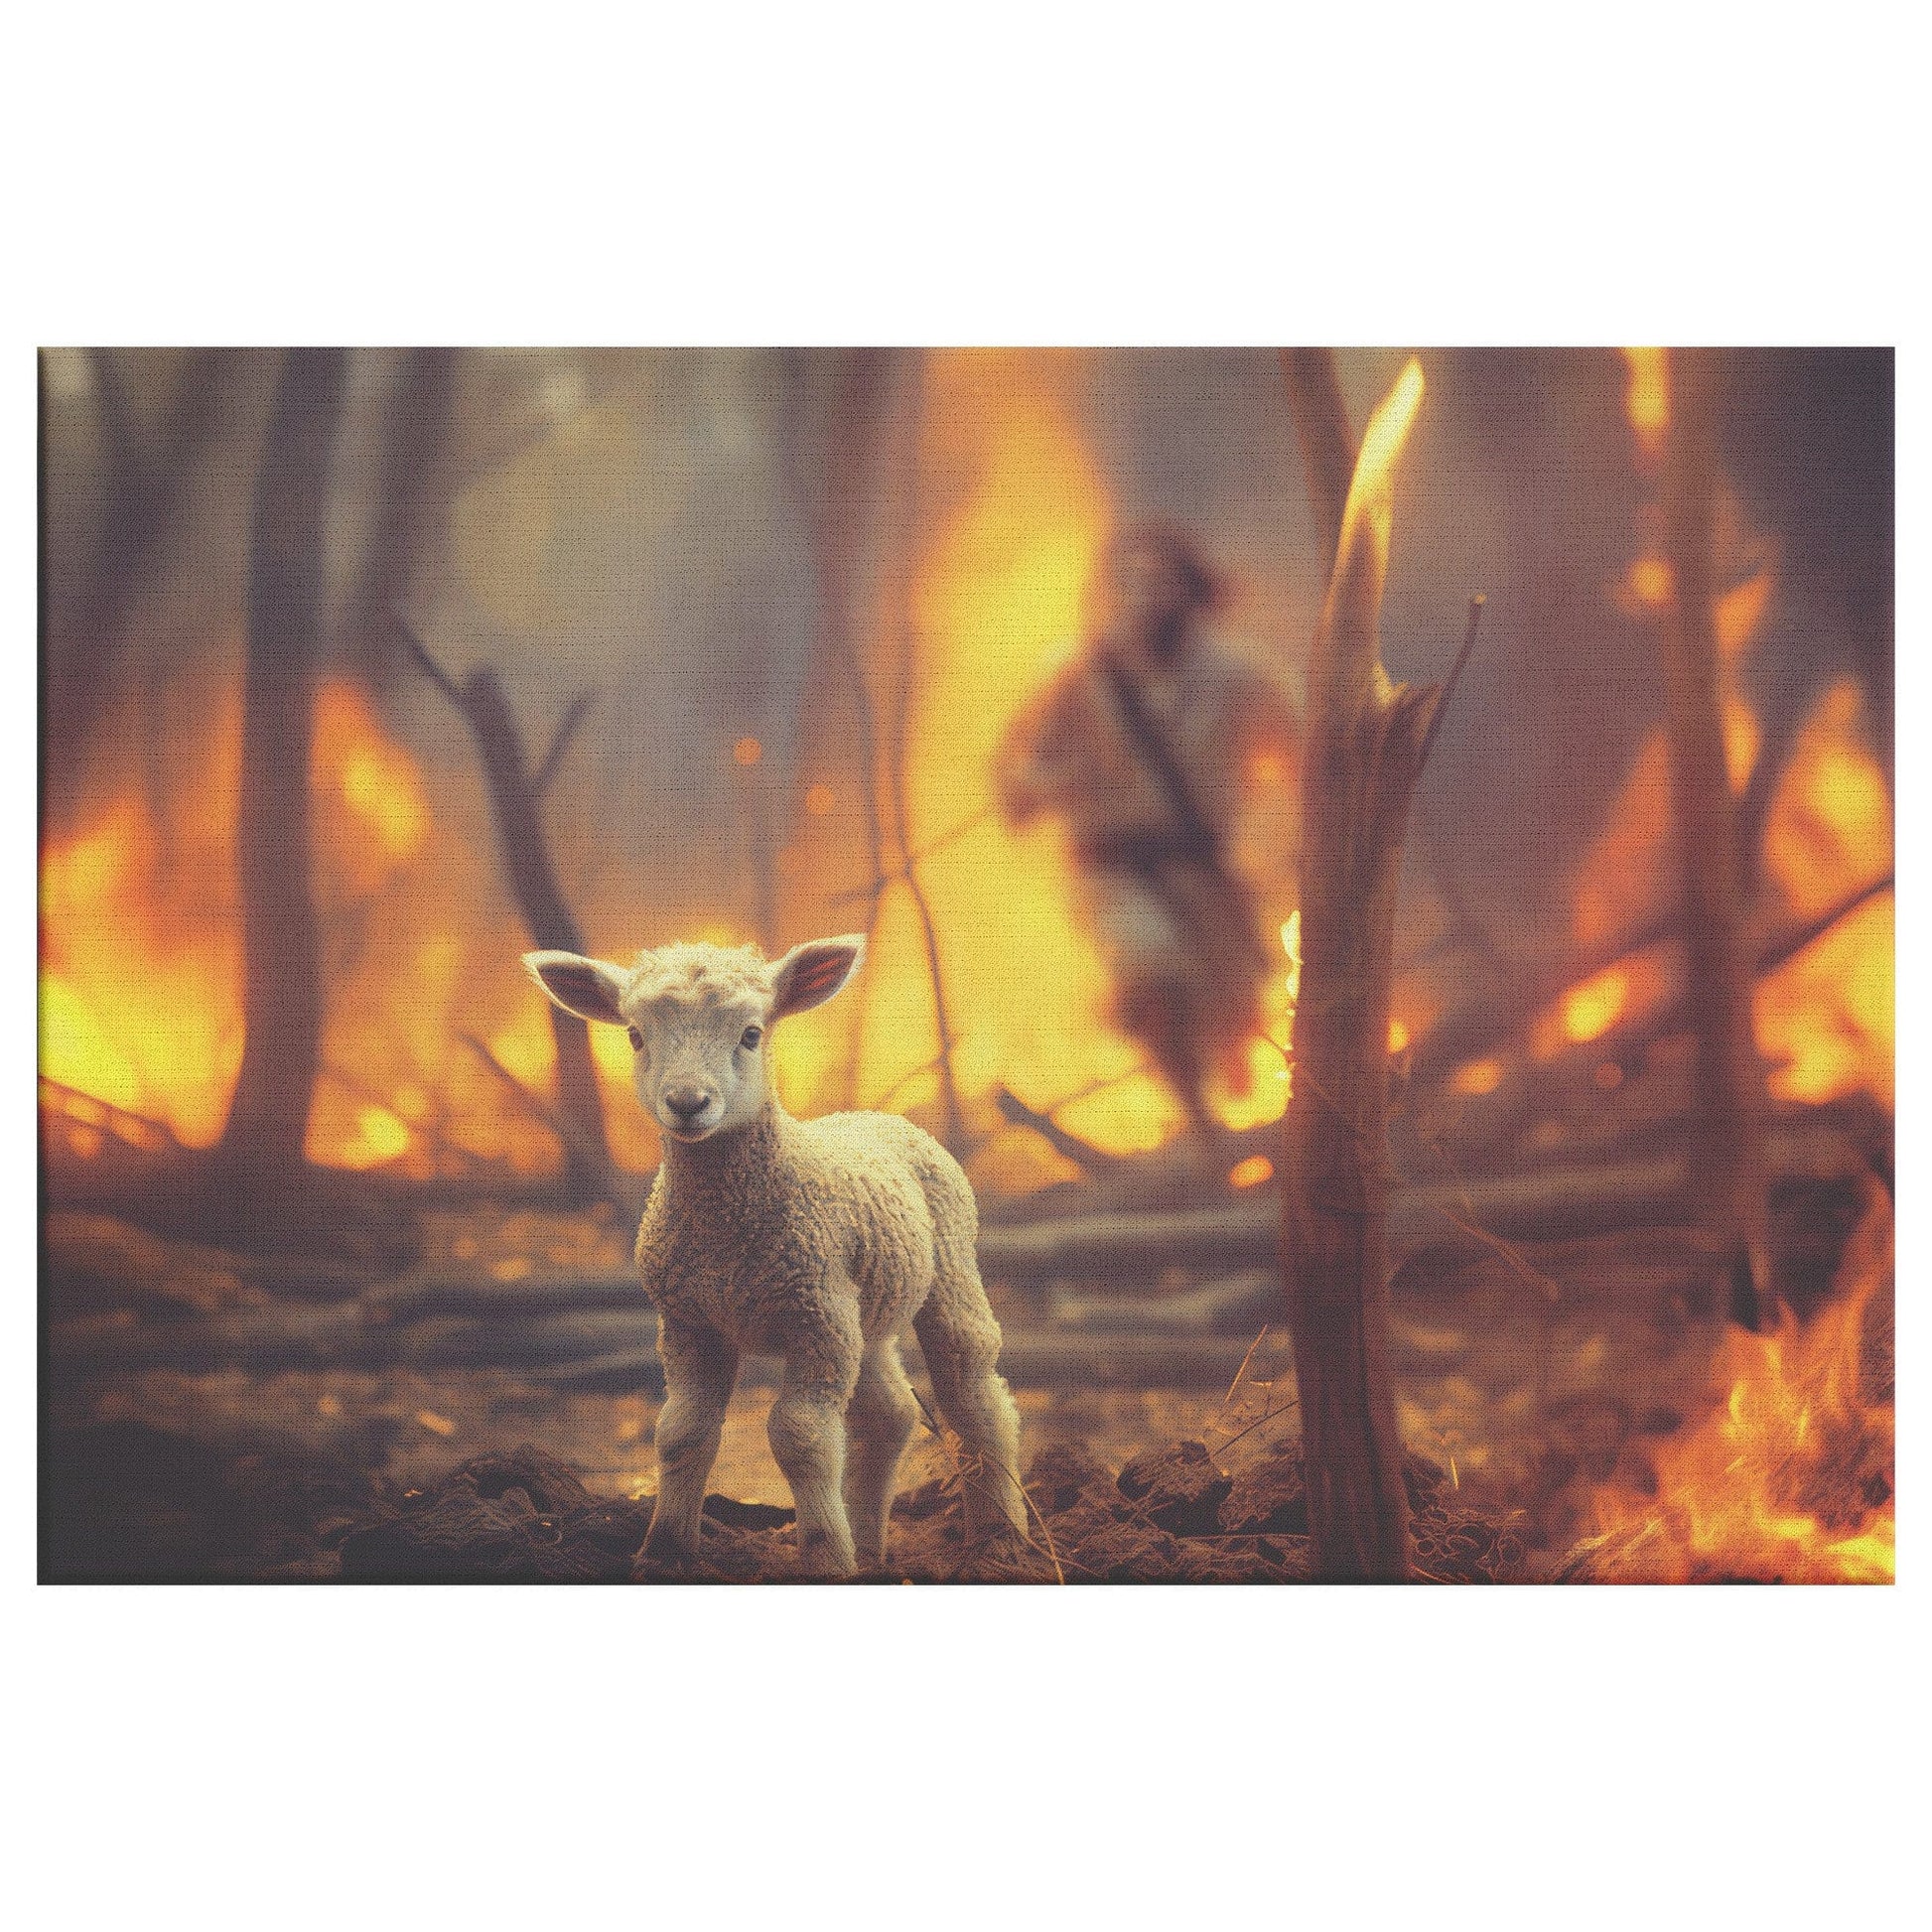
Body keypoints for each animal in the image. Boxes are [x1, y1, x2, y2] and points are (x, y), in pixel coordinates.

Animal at [523, 933, 1026, 1577]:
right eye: (635, 1035)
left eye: (751, 1034)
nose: (688, 1102)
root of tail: (877, 1114)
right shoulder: (688, 1320)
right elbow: (682, 1431)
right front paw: (663, 1554)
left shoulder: (815, 1314)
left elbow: (802, 1436)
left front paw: (826, 1560)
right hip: (864, 1309)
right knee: (889, 1412)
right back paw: (870, 1549)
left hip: (946, 1265)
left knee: (975, 1391)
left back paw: (1002, 1537)